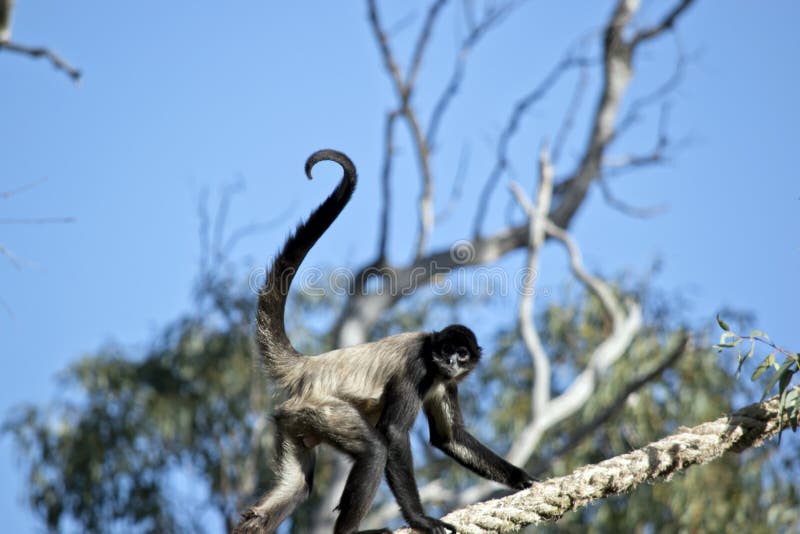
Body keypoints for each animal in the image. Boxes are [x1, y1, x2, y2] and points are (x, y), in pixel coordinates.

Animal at [234, 149, 535, 534]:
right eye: (446, 351)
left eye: (461, 354)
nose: (451, 362)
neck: (431, 357)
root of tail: (311, 365)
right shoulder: (417, 367)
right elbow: (391, 434)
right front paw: (420, 519)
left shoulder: (443, 381)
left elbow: (449, 438)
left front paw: (523, 479)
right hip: (319, 409)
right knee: (374, 449)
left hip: (293, 420)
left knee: (296, 487)